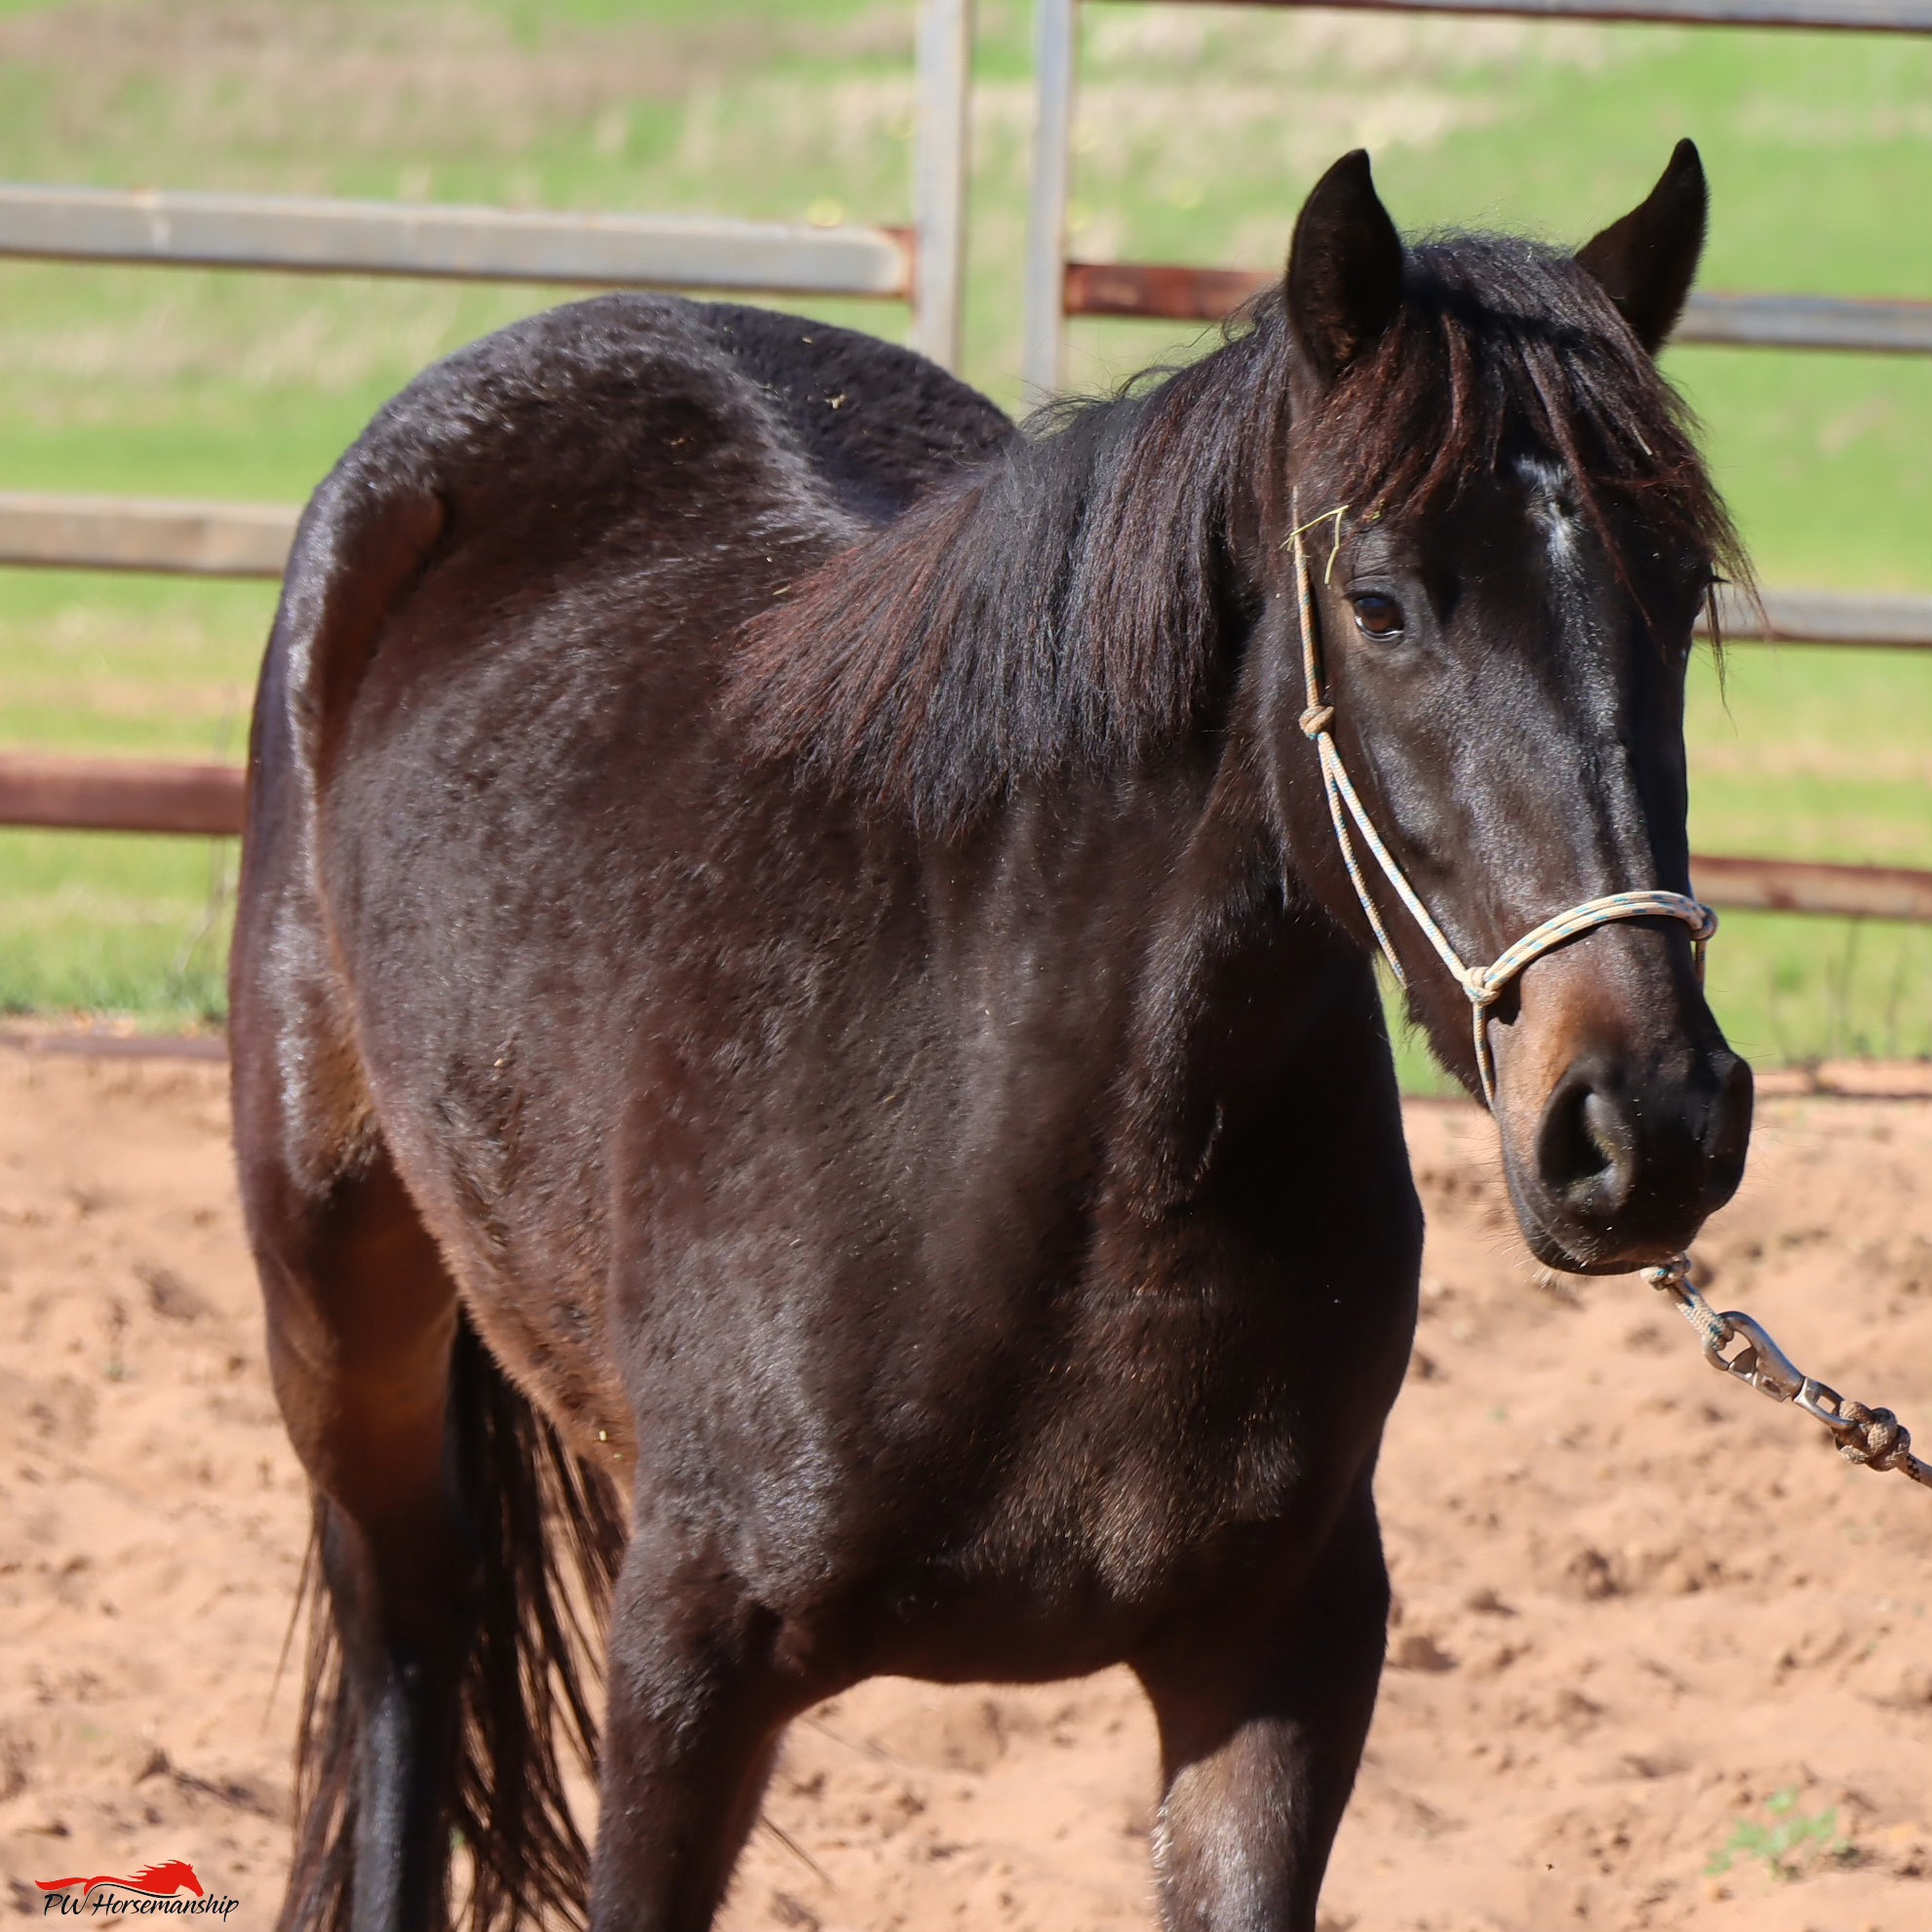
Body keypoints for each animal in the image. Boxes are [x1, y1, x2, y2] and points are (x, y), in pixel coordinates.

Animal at [230, 142, 1754, 1932]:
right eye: (1379, 606)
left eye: (1678, 592)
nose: (1648, 1123)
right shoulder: (681, 1671)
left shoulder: (1275, 1667)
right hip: (338, 1299)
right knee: (409, 1640)